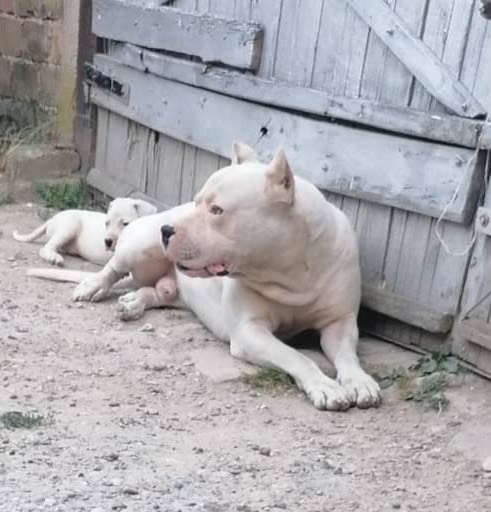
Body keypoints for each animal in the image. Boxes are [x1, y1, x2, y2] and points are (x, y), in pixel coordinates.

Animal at [13, 198, 157, 266]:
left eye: (125, 224)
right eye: (107, 223)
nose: (107, 242)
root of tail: (51, 219)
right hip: (69, 225)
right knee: (46, 247)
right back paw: (53, 257)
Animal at [163, 143, 382, 412]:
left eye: (216, 210)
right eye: (196, 203)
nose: (166, 230)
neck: (290, 273)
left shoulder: (340, 322)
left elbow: (347, 356)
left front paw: (359, 381)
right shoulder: (249, 331)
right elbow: (295, 356)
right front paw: (325, 385)